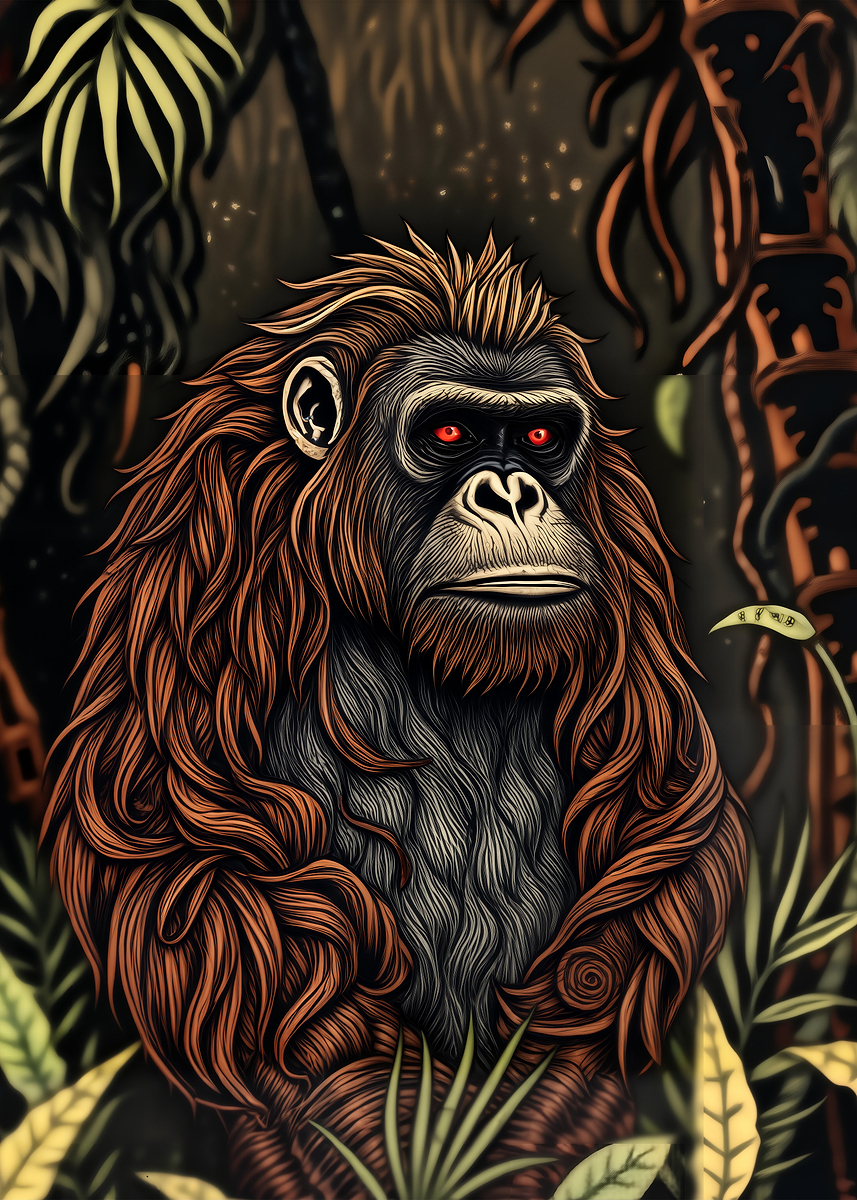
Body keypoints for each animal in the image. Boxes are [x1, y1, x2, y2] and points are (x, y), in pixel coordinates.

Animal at [44, 228, 747, 1198]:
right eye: (448, 432)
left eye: (539, 435)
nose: (511, 490)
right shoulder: (206, 533)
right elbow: (180, 841)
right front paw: (378, 1125)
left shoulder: (616, 527)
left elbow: (653, 820)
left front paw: (539, 1115)